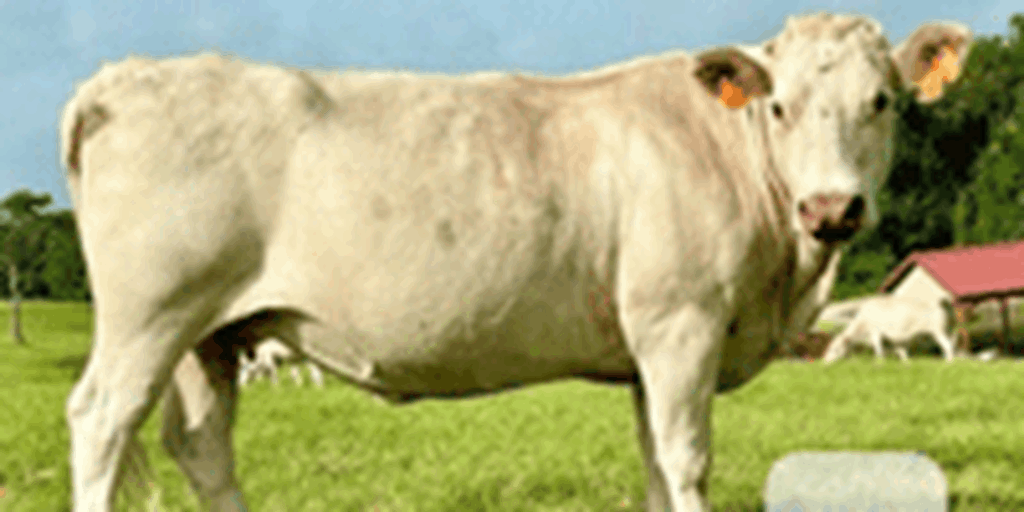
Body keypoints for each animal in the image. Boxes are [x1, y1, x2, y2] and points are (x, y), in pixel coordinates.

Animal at [821, 295, 959, 364]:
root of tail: (941, 304)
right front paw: (906, 363)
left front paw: (879, 363)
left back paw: (949, 362)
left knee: (947, 345)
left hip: (937, 331)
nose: (824, 362)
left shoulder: (875, 334)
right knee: (951, 342)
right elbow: (900, 351)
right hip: (946, 330)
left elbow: (879, 350)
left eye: (835, 349)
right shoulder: (894, 340)